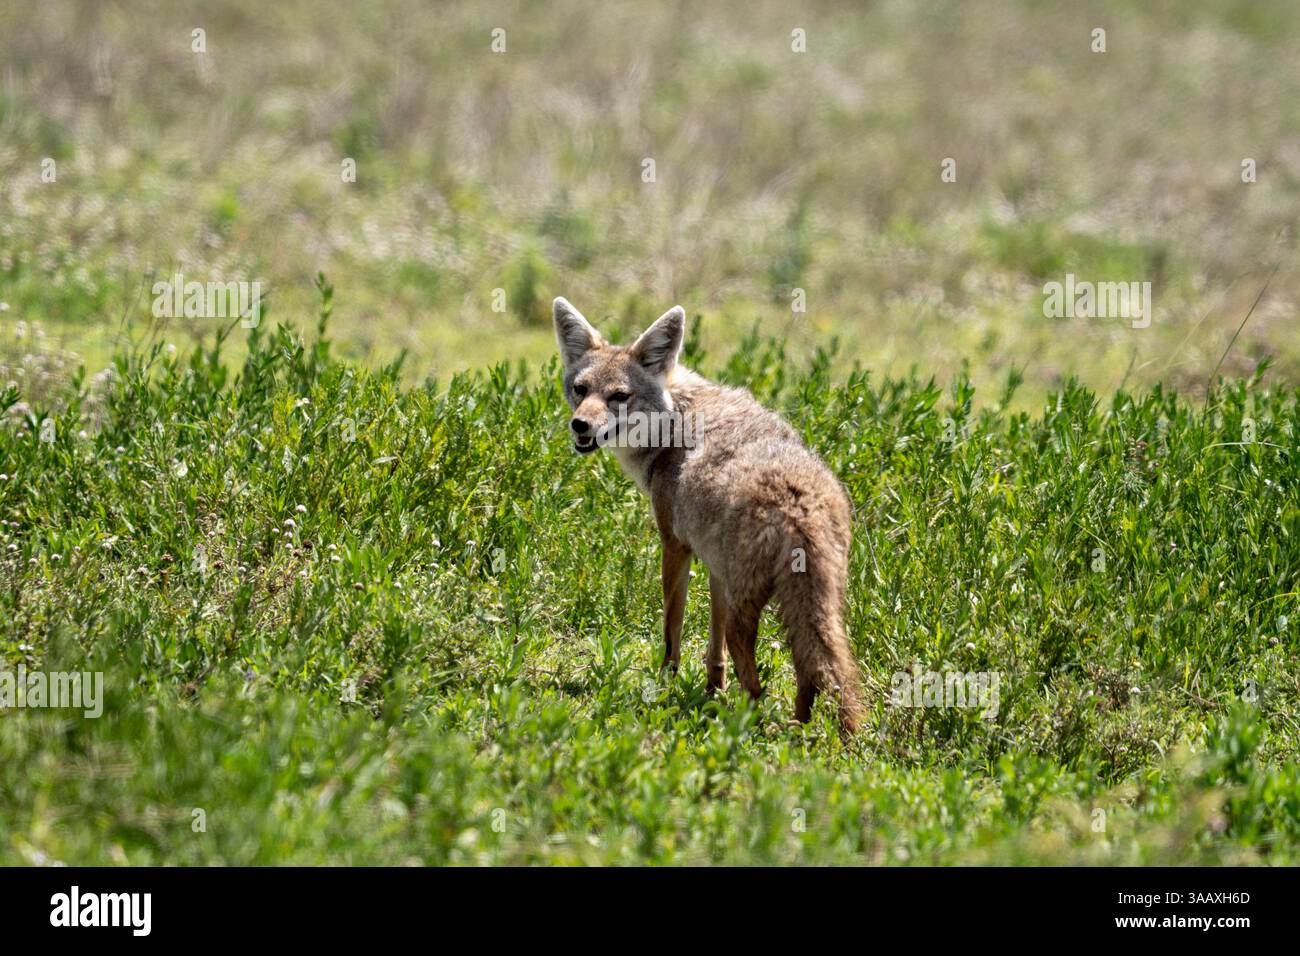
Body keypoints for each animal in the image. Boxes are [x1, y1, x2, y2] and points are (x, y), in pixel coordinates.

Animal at [553, 297, 864, 733]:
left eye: (619, 396)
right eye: (580, 390)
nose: (580, 424)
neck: (673, 420)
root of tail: (797, 503)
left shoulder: (675, 546)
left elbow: (672, 632)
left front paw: (666, 689)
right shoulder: (714, 563)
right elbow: (713, 648)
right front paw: (712, 690)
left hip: (750, 609)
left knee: (756, 677)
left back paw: (748, 728)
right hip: (816, 608)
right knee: (816, 672)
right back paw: (797, 729)